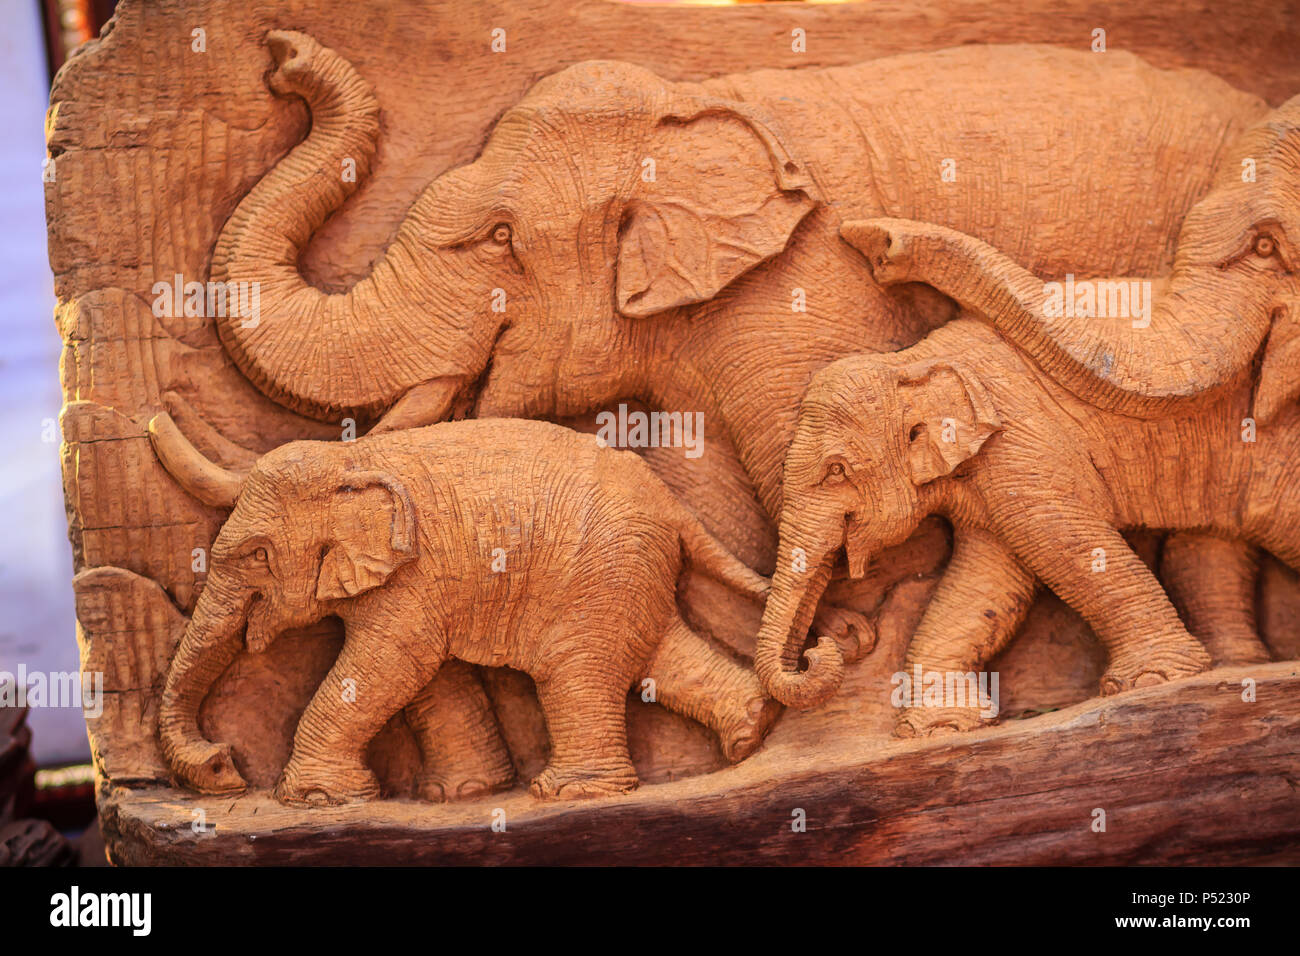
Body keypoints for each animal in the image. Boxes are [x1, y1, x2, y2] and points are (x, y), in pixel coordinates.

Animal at [159, 418, 783, 805]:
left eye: (257, 555)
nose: (224, 765)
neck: (350, 458)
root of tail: (673, 507)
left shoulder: (412, 574)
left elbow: (390, 667)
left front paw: (314, 799)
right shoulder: (429, 583)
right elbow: (430, 674)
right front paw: (460, 795)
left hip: (602, 567)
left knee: (577, 670)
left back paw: (567, 793)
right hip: (624, 572)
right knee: (661, 654)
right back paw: (749, 735)